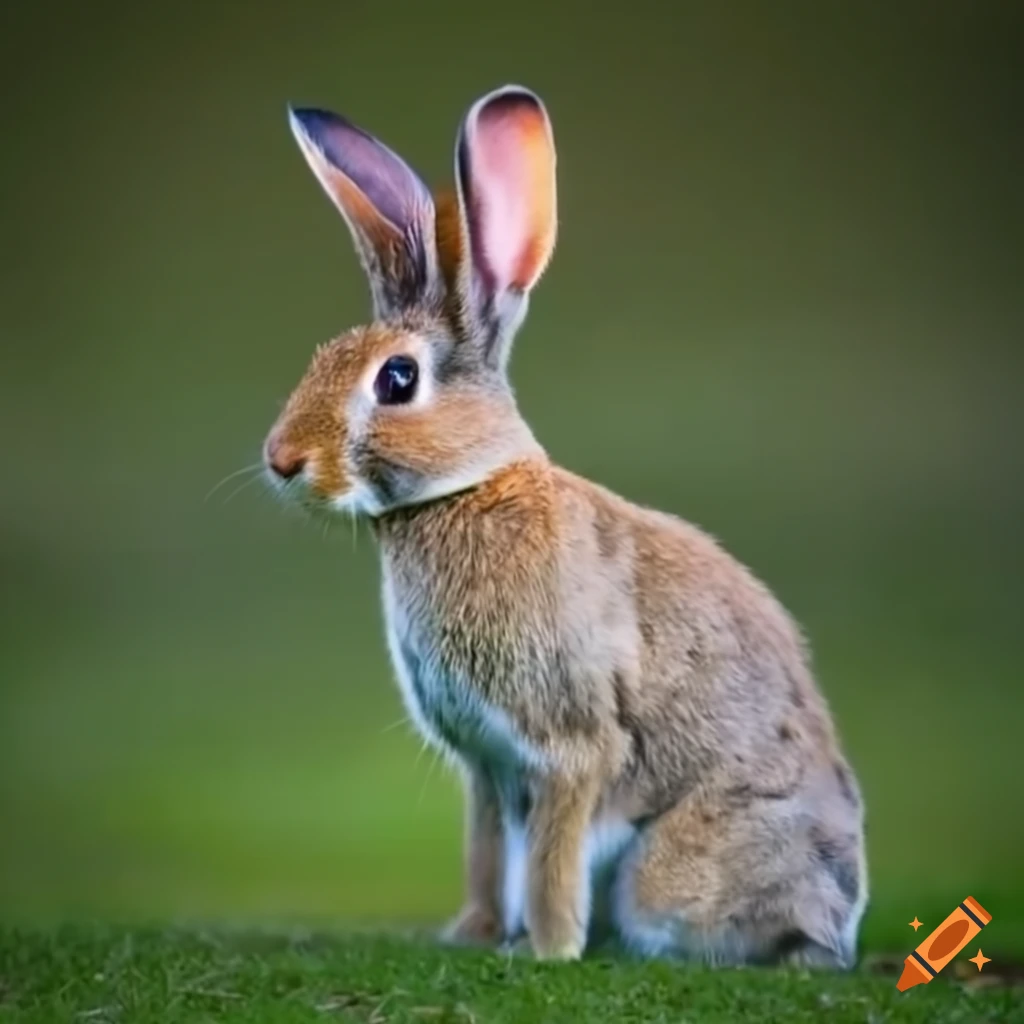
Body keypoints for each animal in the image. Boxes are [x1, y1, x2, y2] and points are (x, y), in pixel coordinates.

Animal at [263, 84, 868, 967]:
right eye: (322, 357)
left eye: (398, 379)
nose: (281, 460)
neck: (465, 491)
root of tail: (842, 916)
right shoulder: (486, 767)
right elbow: (487, 852)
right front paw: (475, 935)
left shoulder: (569, 744)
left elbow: (550, 857)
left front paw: (545, 948)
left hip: (667, 874)